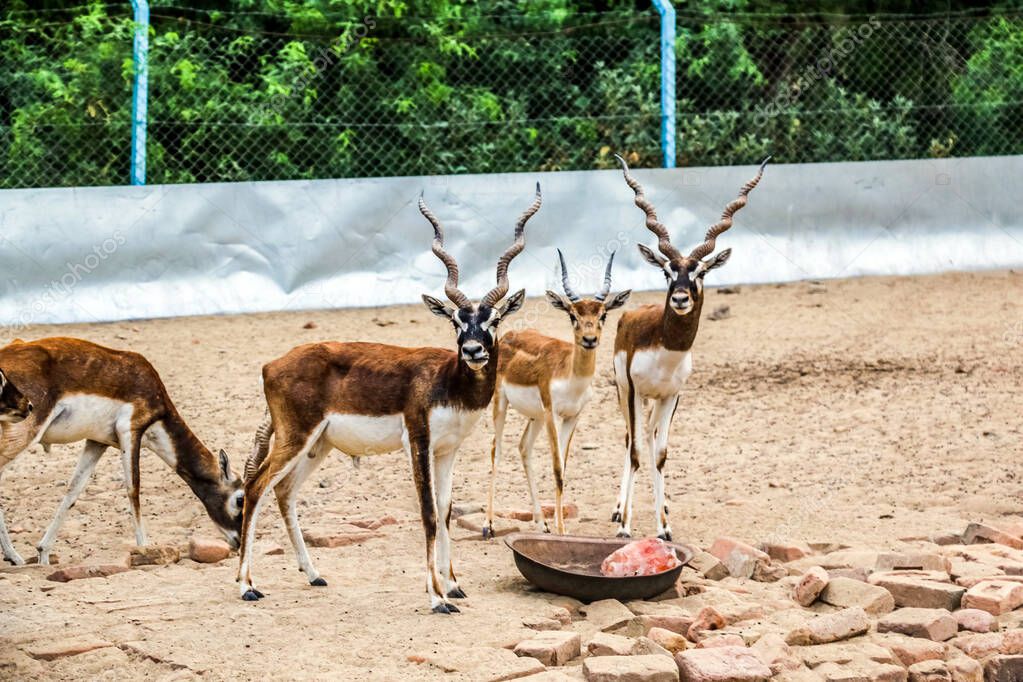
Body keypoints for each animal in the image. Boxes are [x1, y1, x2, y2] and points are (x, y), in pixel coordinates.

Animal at [0, 337, 244, 565]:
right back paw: (14, 557)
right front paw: (146, 547)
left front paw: (43, 553)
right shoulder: (130, 431)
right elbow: (133, 489)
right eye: (240, 499)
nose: (238, 541)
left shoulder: (97, 442)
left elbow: (73, 491)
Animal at [237, 185, 540, 613]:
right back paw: (247, 586)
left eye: (494, 319)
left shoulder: (448, 450)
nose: (473, 350)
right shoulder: (418, 440)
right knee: (255, 487)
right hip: (296, 436)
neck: (448, 381)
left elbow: (446, 512)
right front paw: (437, 597)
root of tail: (271, 364)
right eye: (456, 321)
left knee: (283, 491)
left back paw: (313, 574)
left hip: (318, 444)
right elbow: (428, 512)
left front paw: (453, 585)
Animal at [483, 250, 630, 539]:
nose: (589, 339)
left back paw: (542, 523)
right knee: (496, 449)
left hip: (536, 417)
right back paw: (489, 525)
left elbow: (563, 466)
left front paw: (560, 528)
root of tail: (509, 336)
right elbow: (556, 469)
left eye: (603, 315)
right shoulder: (552, 413)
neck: (571, 375)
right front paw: (563, 531)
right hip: (502, 404)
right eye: (572, 315)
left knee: (523, 448)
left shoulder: (573, 416)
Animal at [610, 154, 768, 540]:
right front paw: (625, 527)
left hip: (656, 403)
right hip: (623, 392)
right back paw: (619, 512)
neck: (664, 353)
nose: (680, 298)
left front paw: (665, 528)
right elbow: (636, 451)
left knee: (649, 438)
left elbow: (660, 453)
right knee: (630, 438)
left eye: (701, 273)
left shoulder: (672, 395)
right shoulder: (635, 390)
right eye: (667, 272)